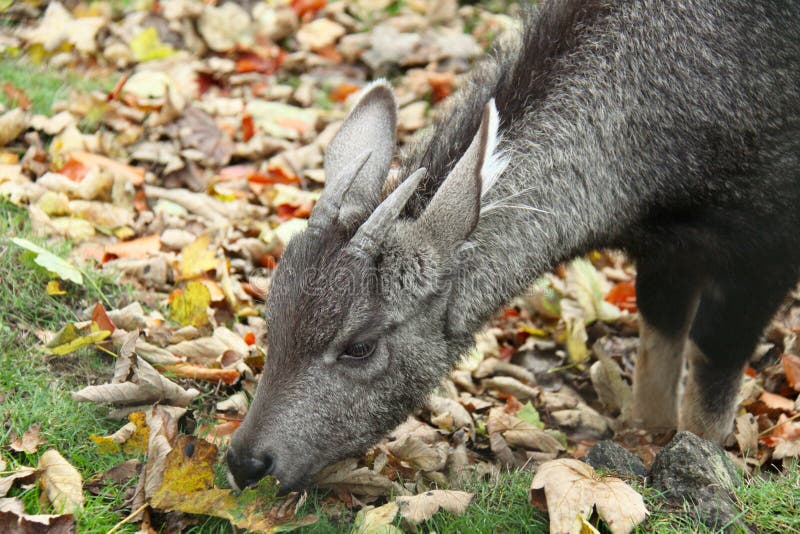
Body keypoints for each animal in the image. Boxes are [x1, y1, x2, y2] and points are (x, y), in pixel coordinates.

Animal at [227, 0, 800, 492]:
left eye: (360, 345)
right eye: (271, 312)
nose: (246, 461)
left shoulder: (764, 251)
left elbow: (709, 389)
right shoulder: (669, 254)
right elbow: (658, 359)